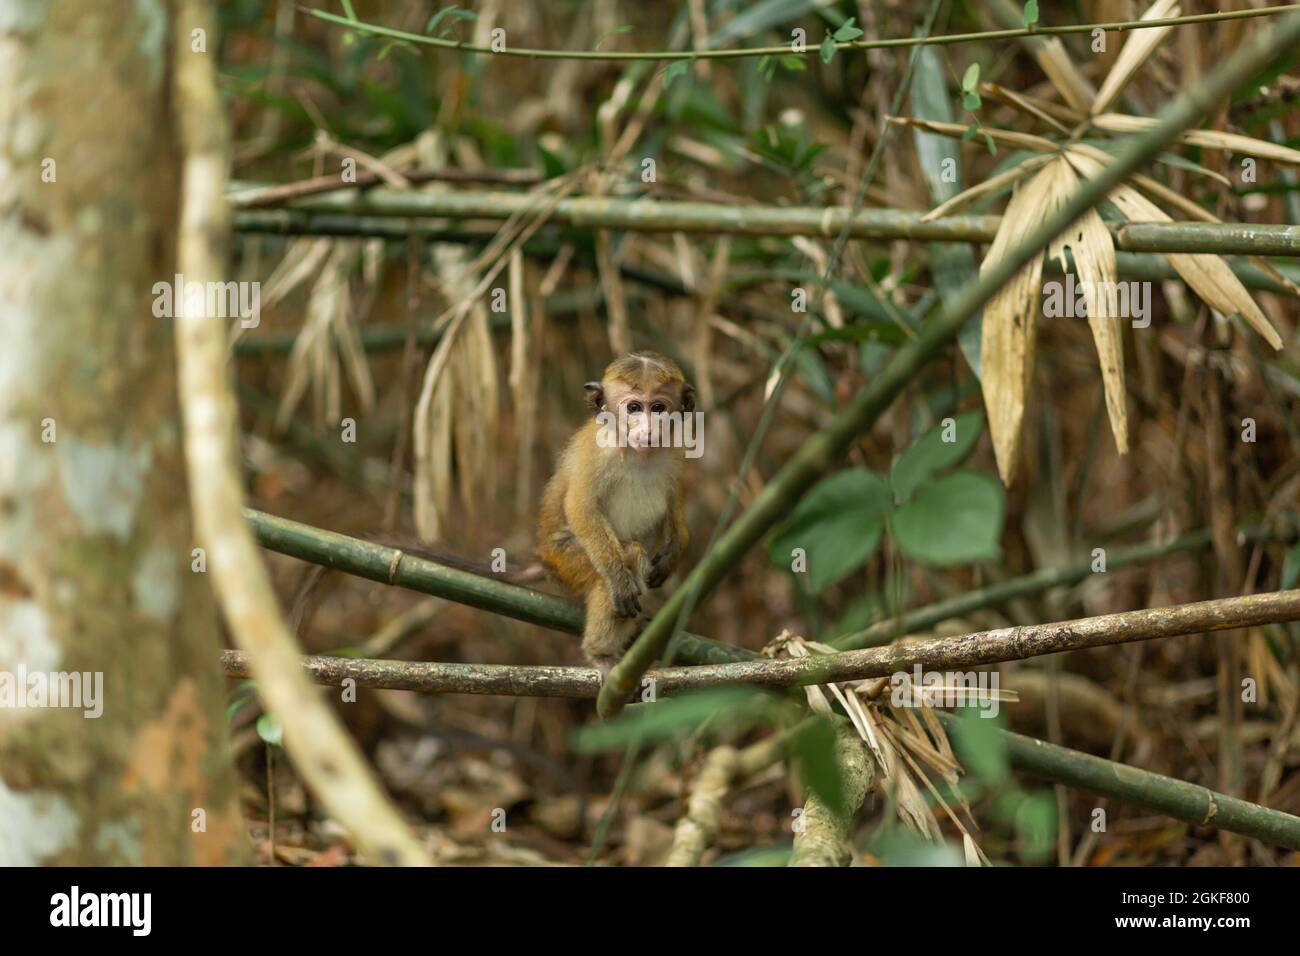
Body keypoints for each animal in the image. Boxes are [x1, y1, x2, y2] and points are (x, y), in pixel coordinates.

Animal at [536, 351, 695, 677]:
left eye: (658, 408)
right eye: (633, 407)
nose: (648, 429)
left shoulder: (676, 450)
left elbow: (673, 497)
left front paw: (676, 548)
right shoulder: (596, 453)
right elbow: (580, 508)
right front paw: (618, 578)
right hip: (565, 560)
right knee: (628, 557)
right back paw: (600, 652)